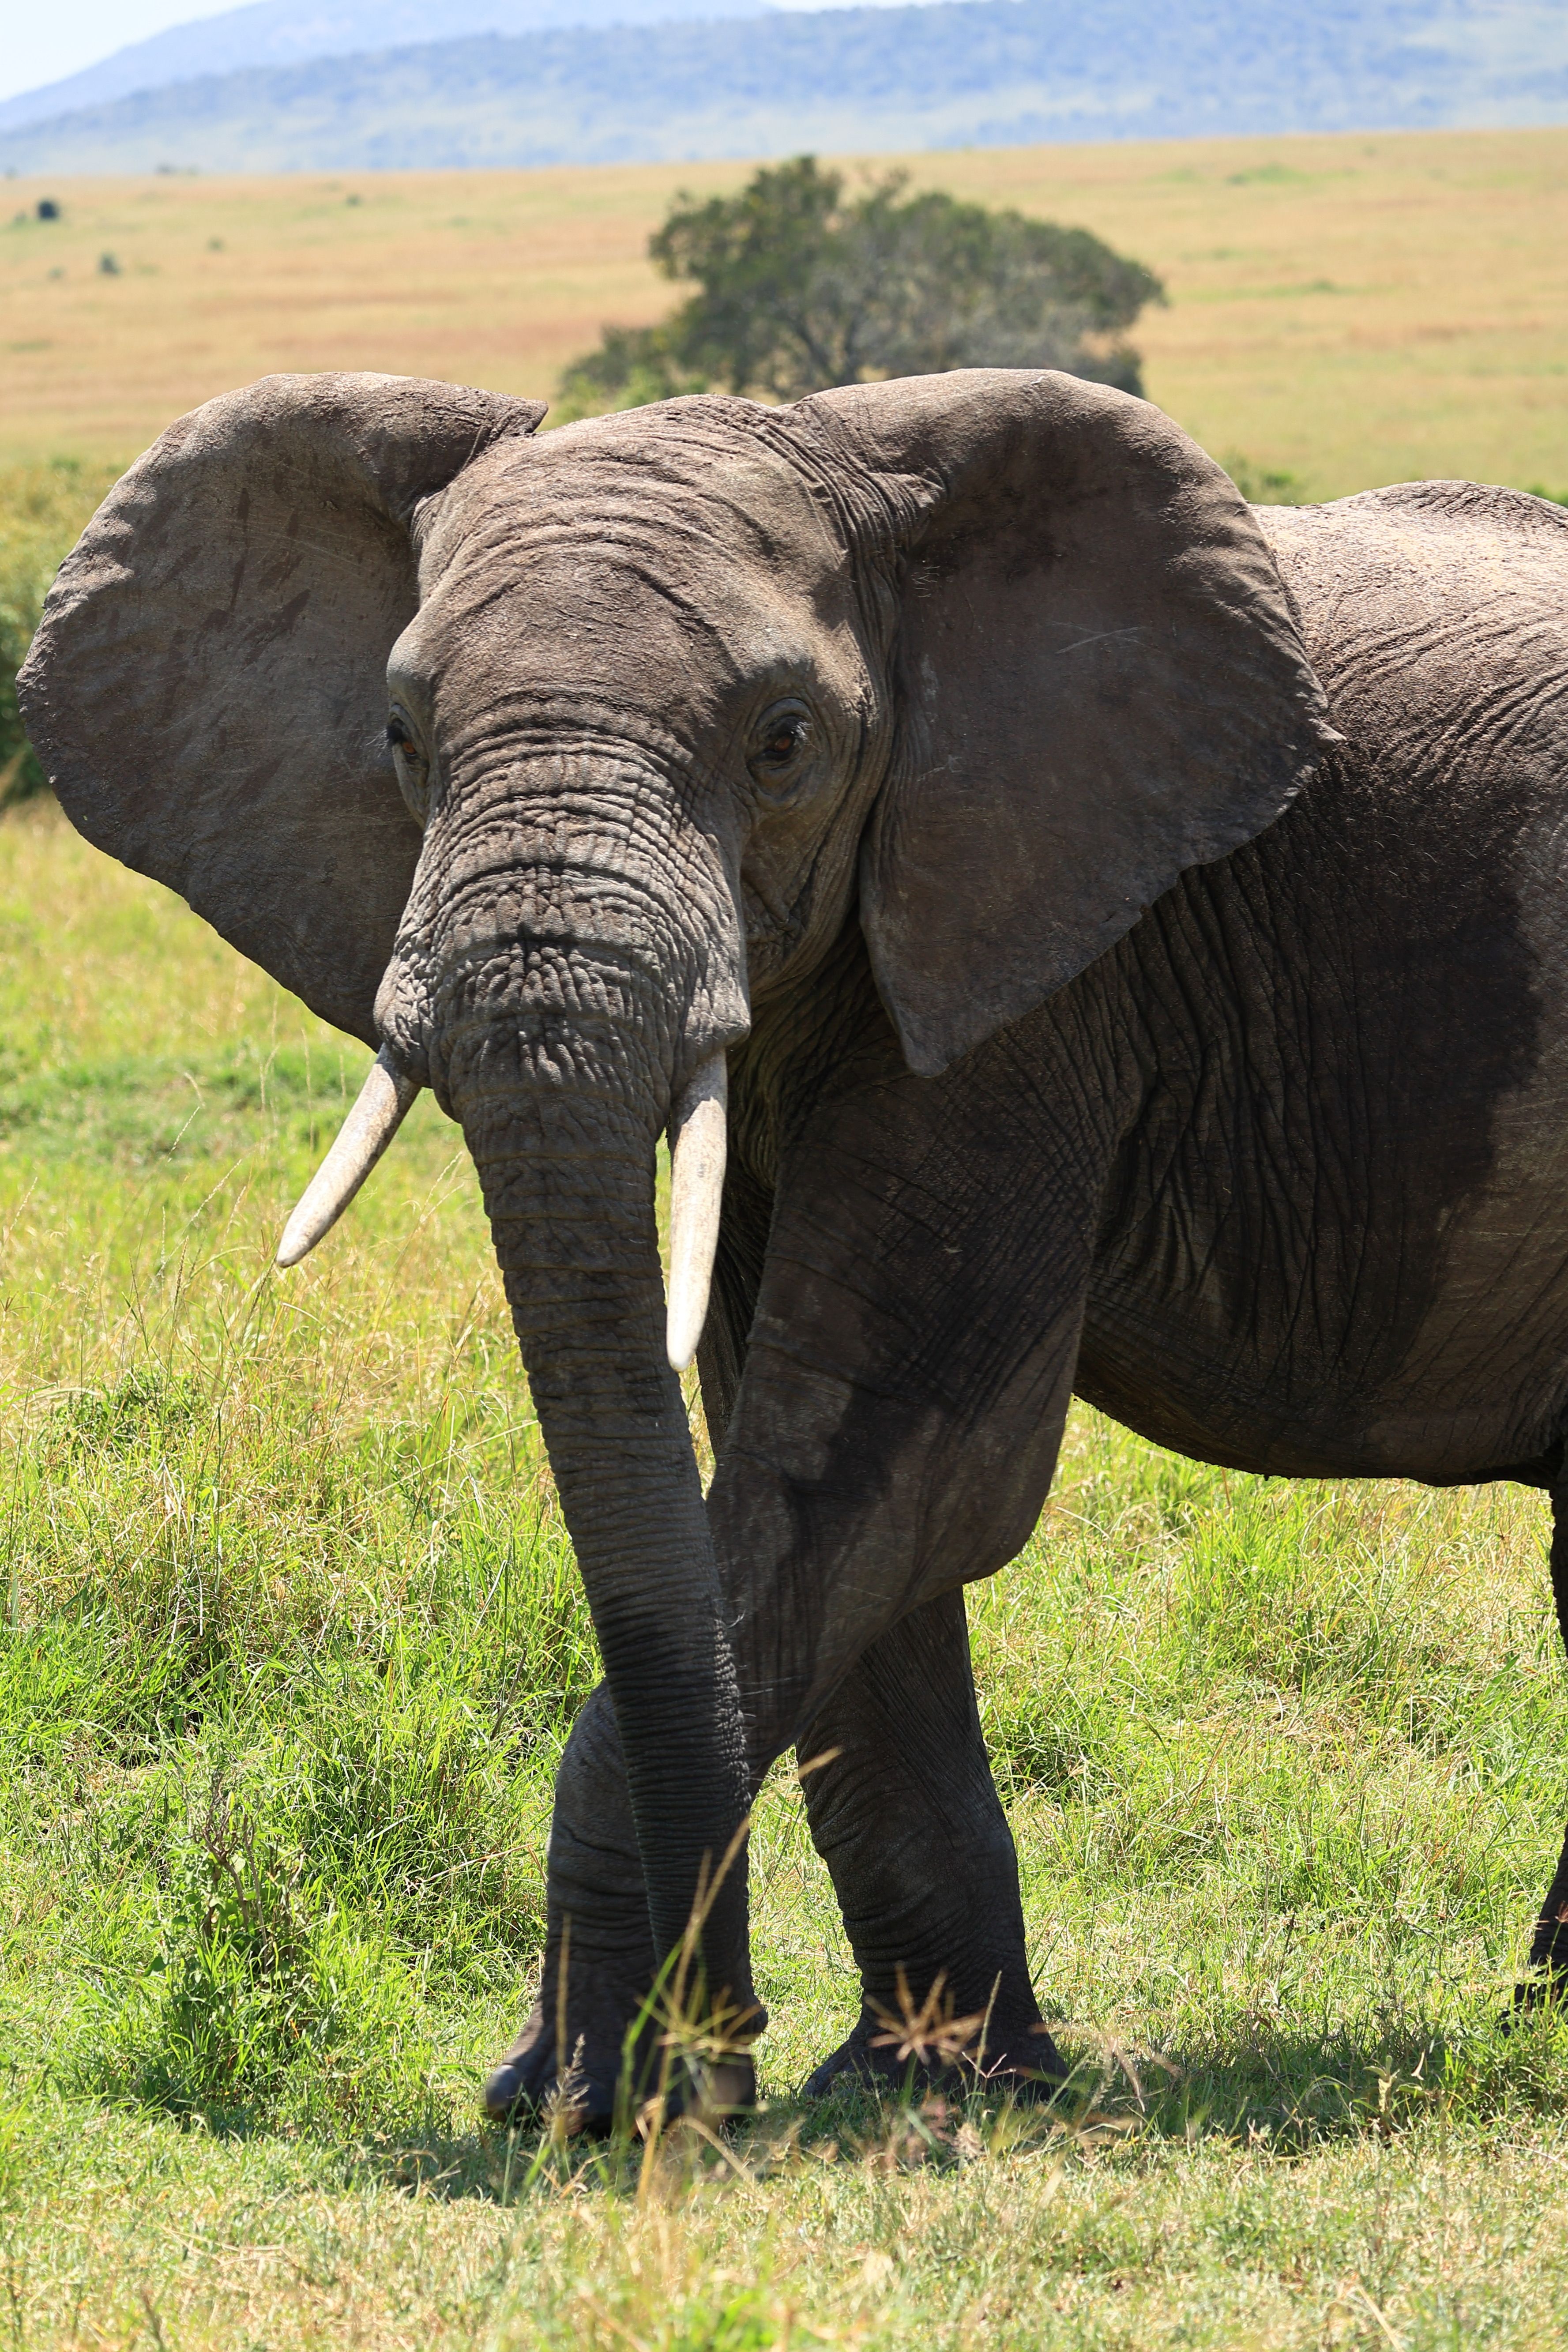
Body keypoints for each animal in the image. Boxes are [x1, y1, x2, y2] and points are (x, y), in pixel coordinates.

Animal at [19, 365, 1568, 2126]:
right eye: (402, 739)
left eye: (783, 743)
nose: (712, 2052)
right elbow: (795, 1458)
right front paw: (923, 2089)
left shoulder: (1040, 974)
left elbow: (895, 1464)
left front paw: (600, 2098)